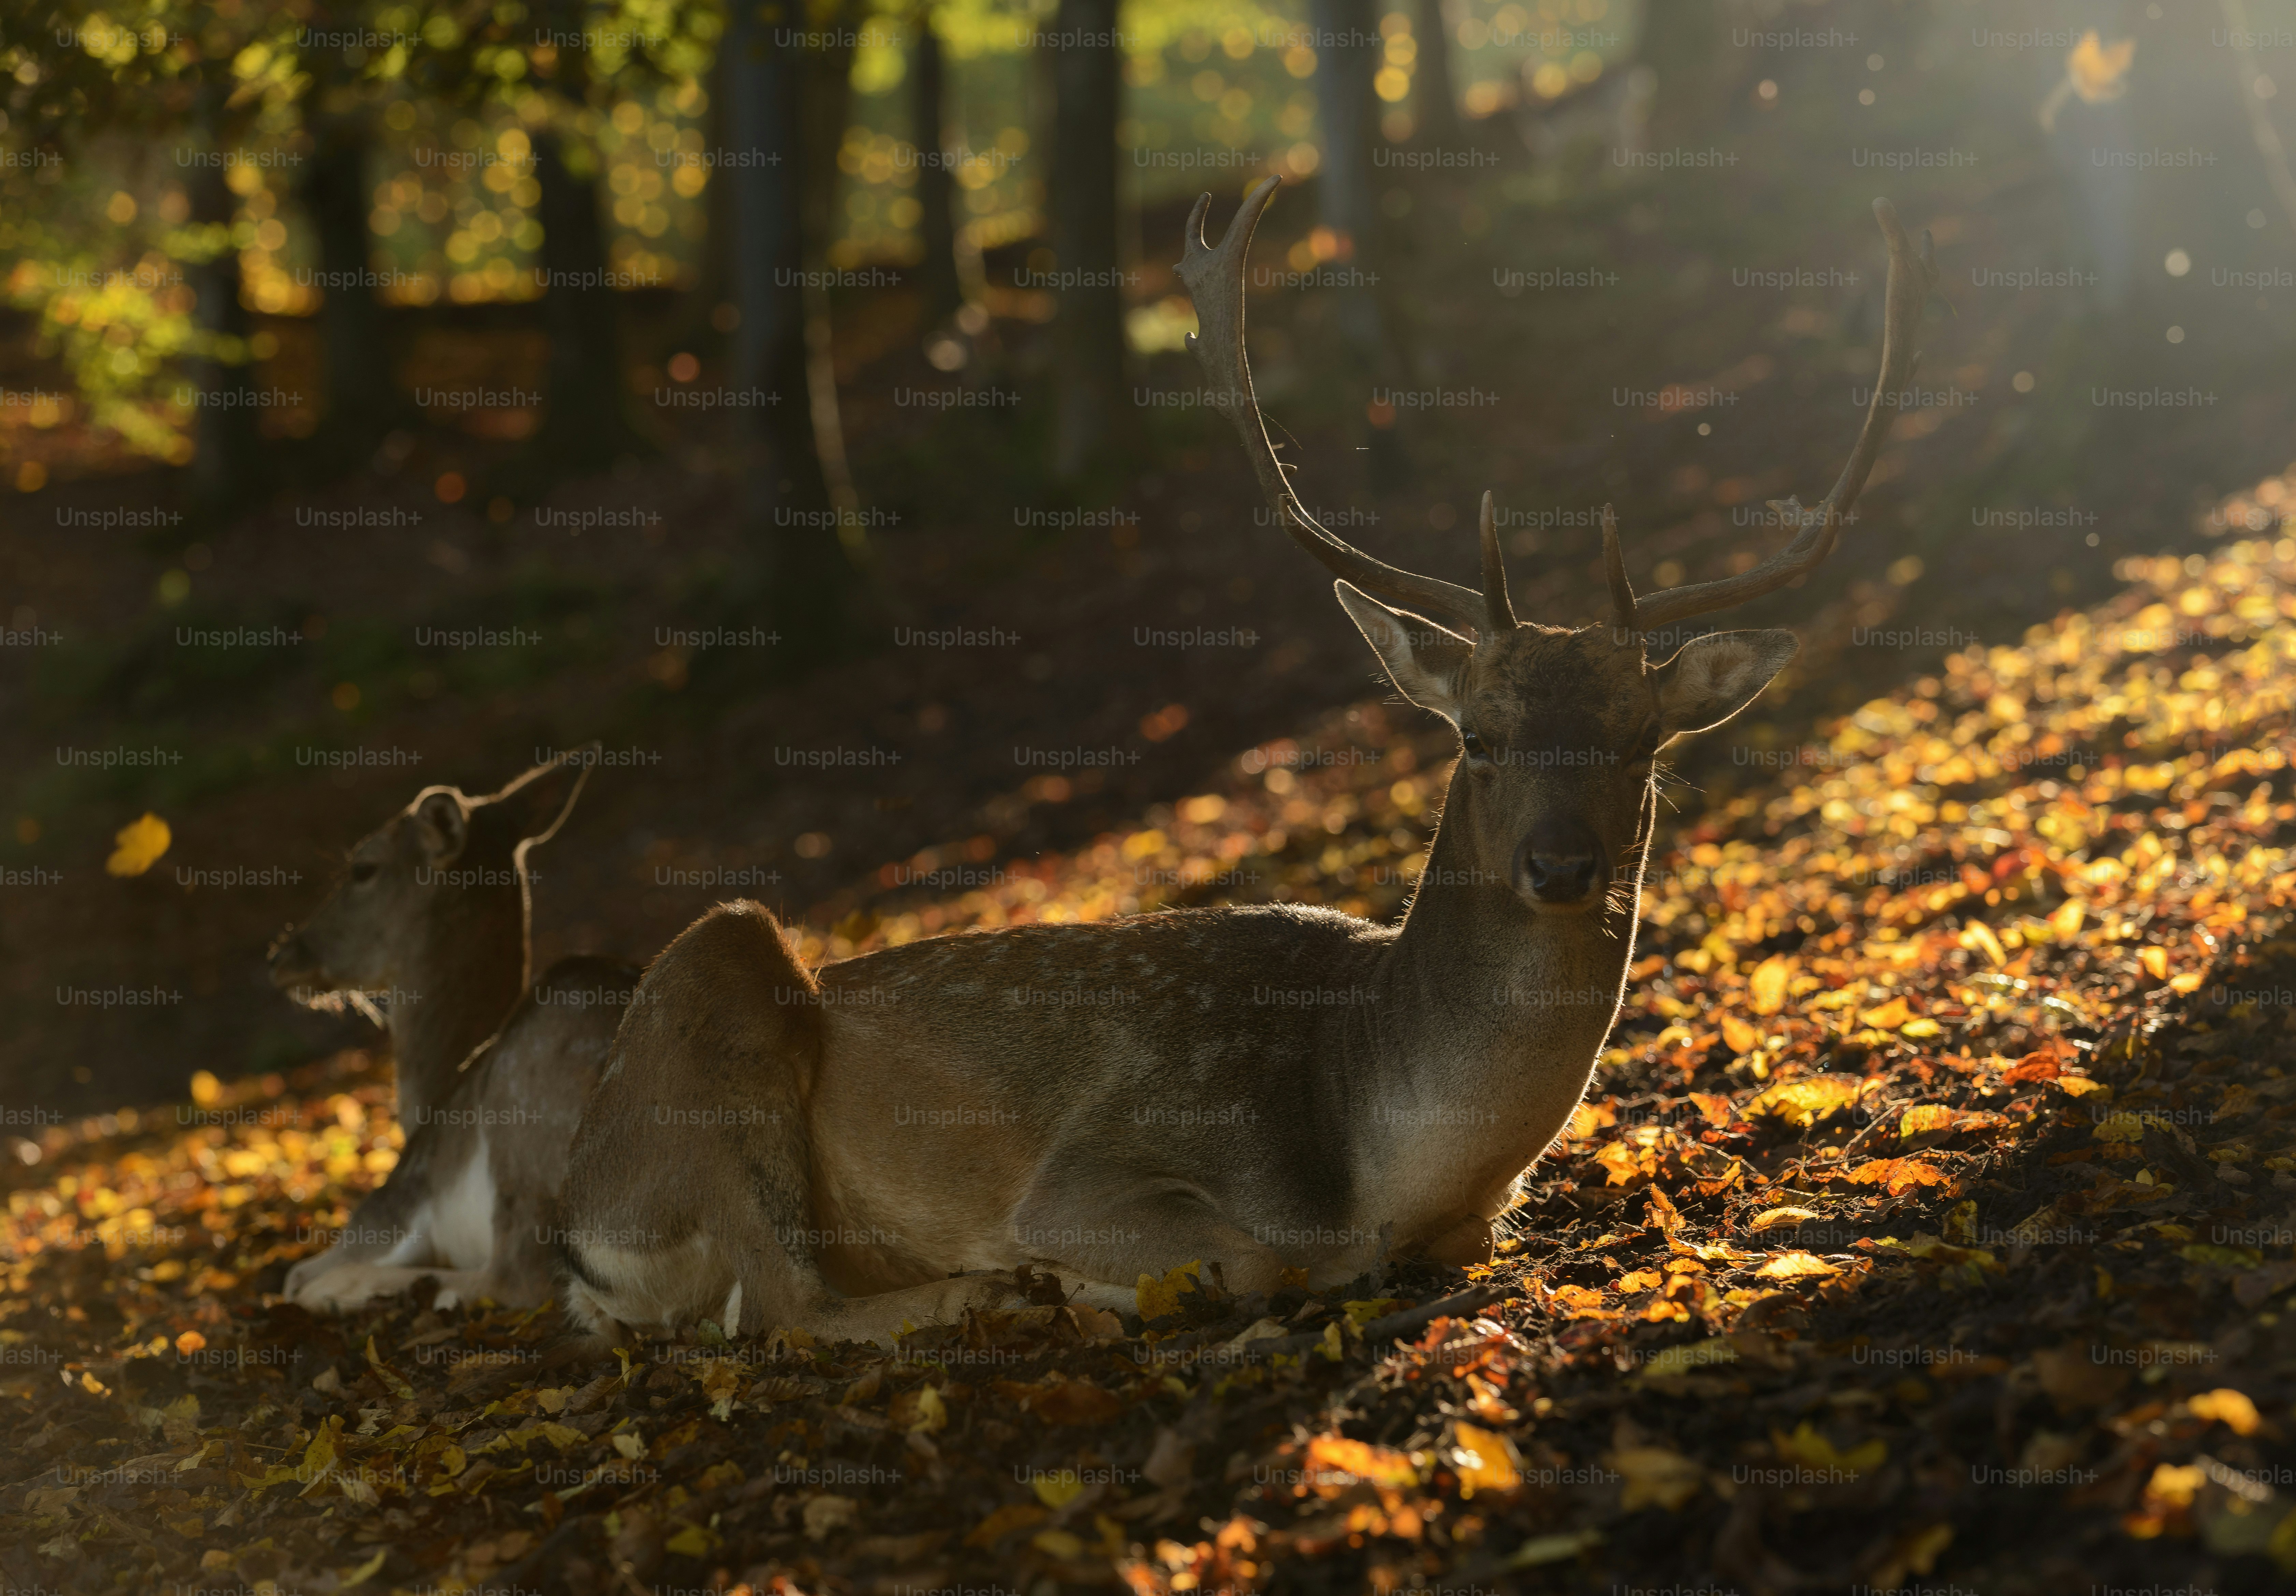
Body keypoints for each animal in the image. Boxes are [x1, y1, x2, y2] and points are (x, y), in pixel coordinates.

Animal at [273, 748, 643, 1313]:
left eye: (362, 867)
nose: (282, 954)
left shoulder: (394, 1201)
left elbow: (295, 1273)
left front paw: (328, 1284)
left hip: (527, 1122)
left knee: (518, 1276)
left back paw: (353, 1289)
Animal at [560, 174, 1937, 1350]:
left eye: (1641, 740)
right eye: (1474, 734)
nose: (1560, 863)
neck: (1380, 1156)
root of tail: (579, 1230)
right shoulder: (1095, 1167)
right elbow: (1250, 1255)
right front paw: (1068, 1278)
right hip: (713, 997)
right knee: (787, 1298)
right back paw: (995, 1293)